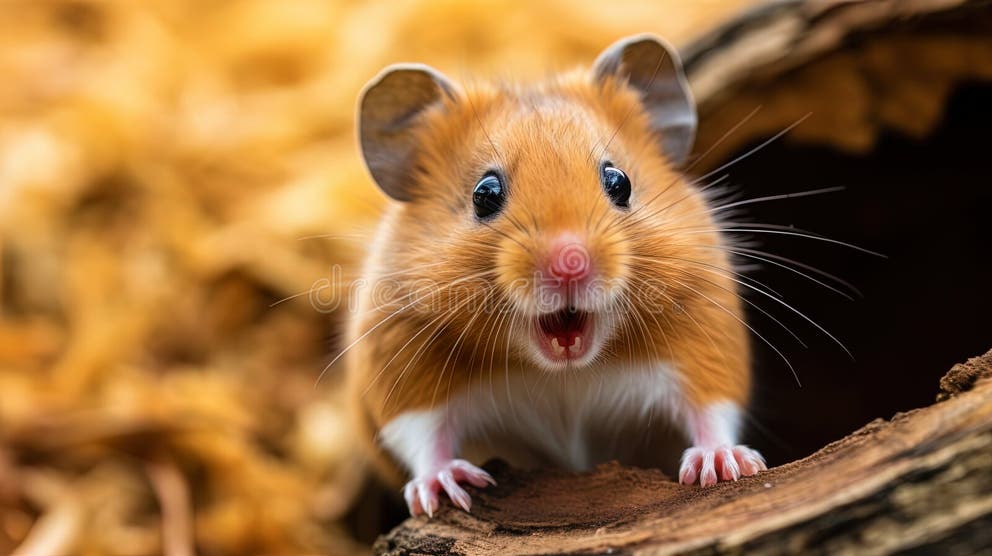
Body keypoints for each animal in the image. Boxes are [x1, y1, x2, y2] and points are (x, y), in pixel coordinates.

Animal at [346, 34, 765, 517]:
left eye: (619, 182)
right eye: (484, 195)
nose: (570, 264)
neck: (563, 372)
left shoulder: (704, 332)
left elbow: (711, 407)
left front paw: (724, 465)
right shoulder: (401, 353)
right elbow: (422, 433)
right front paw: (443, 490)